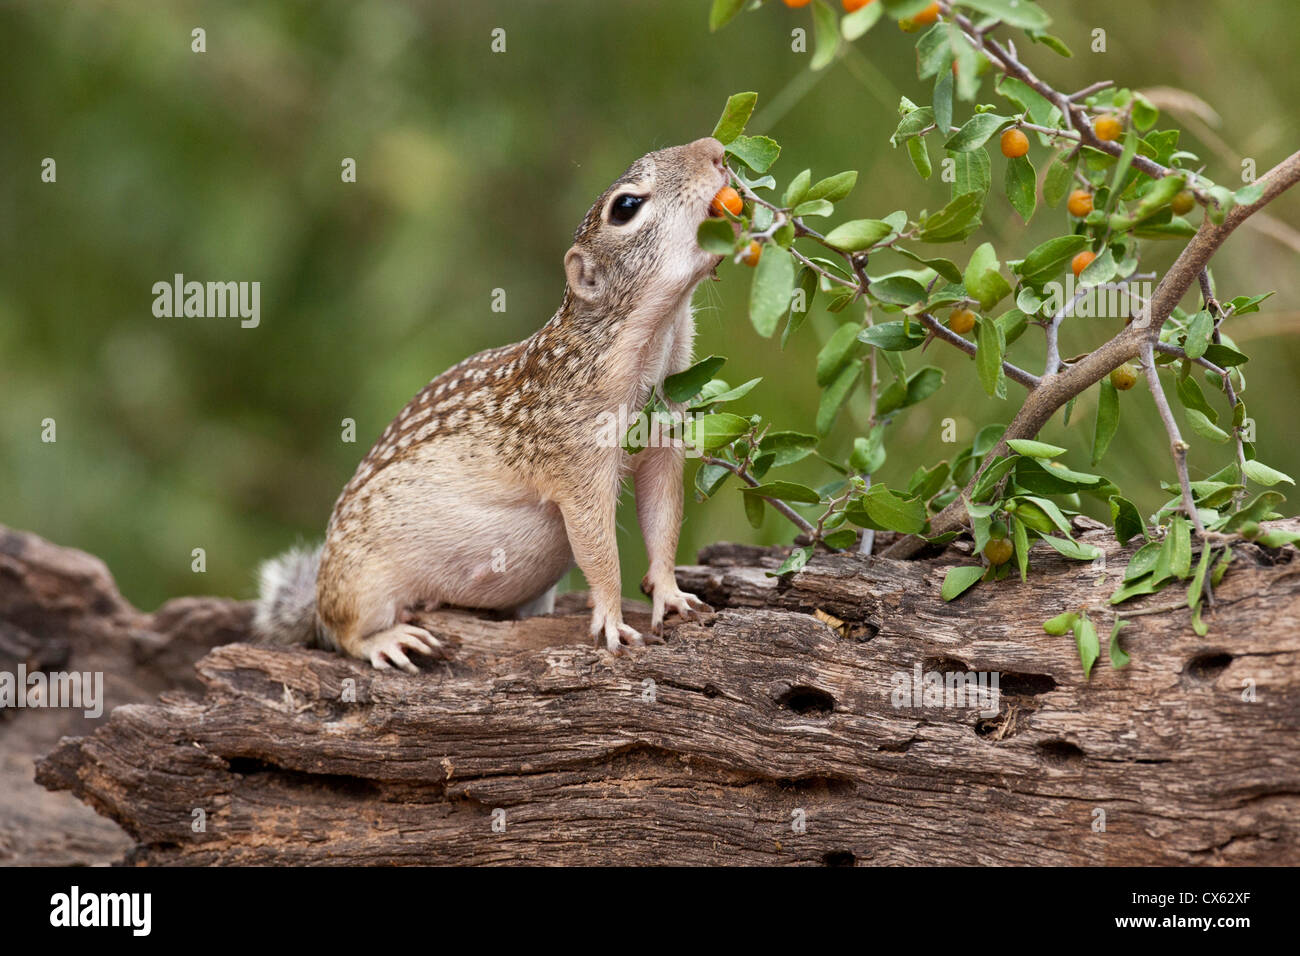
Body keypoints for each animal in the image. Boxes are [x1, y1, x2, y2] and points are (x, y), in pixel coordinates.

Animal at [252, 137, 727, 671]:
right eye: (625, 206)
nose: (714, 148)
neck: (655, 339)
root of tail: (317, 594)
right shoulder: (576, 466)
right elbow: (599, 550)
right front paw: (610, 618)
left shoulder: (665, 438)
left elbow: (663, 518)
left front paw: (670, 593)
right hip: (362, 585)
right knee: (342, 630)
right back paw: (387, 640)